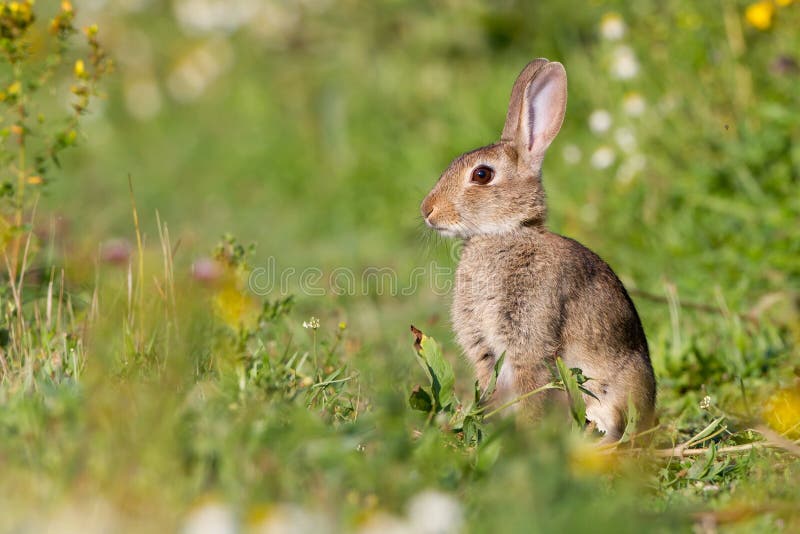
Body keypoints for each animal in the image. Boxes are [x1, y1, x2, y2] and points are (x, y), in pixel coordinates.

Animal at [420, 58, 655, 442]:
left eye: (482, 175)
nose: (428, 210)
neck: (507, 234)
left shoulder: (529, 339)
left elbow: (531, 390)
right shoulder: (485, 351)